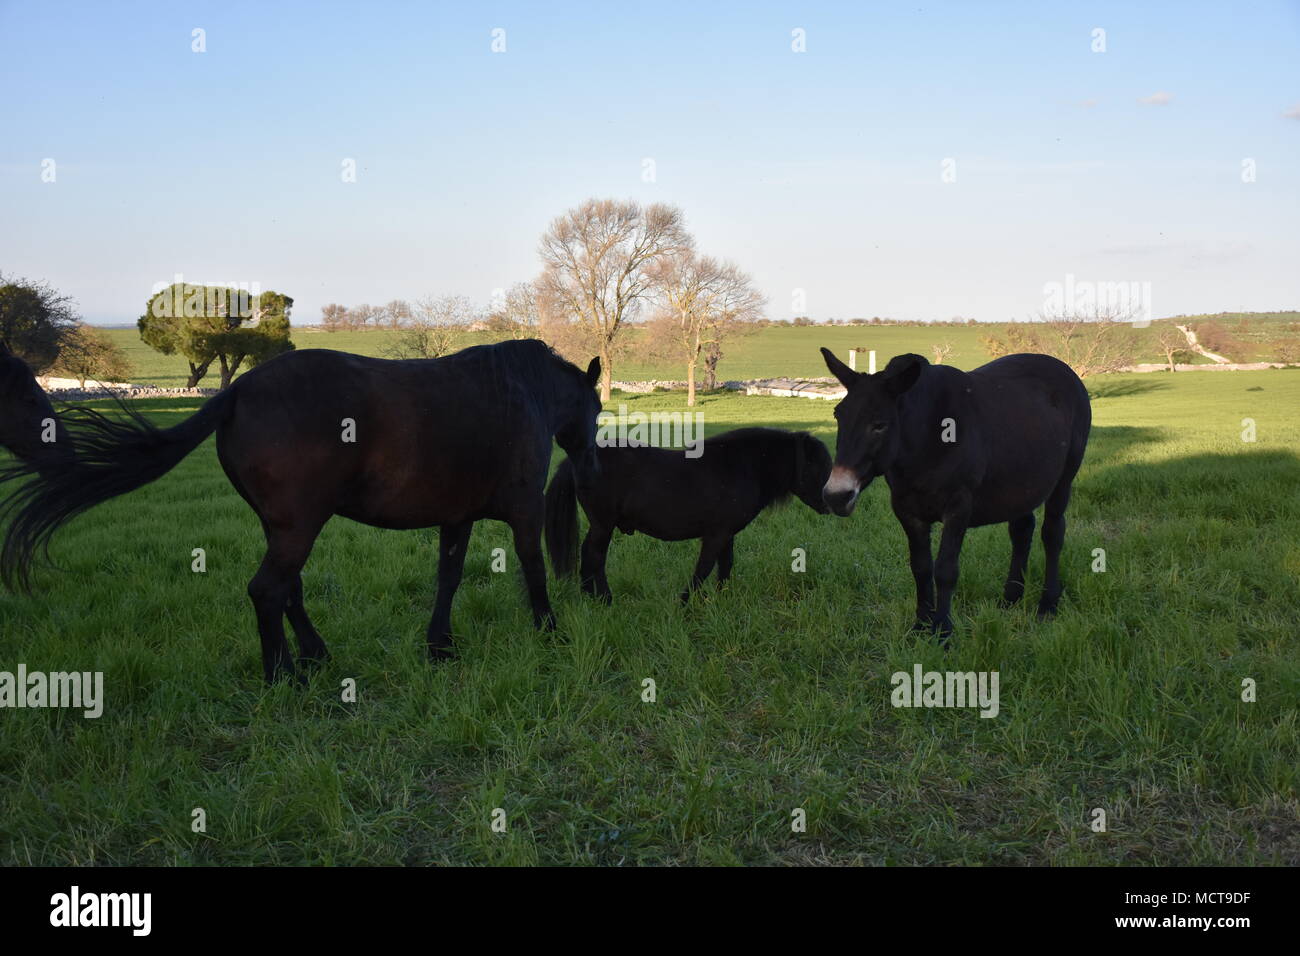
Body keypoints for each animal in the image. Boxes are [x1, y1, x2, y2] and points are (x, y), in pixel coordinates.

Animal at [0, 339, 602, 683]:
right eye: (596, 408)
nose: (593, 463)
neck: (522, 389)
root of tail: (238, 391)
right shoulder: (523, 508)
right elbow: (534, 567)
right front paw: (549, 630)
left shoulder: (456, 517)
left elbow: (447, 578)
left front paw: (441, 646)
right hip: (298, 528)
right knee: (267, 590)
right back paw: (283, 675)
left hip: (285, 527)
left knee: (288, 590)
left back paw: (313, 656)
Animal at [544, 427, 831, 603]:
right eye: (816, 466)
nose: (833, 502)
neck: (742, 467)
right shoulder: (715, 534)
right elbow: (704, 568)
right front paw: (685, 602)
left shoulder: (727, 534)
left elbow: (725, 565)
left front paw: (722, 598)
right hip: (603, 525)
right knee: (593, 556)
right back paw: (603, 599)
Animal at [819, 348, 1091, 638]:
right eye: (837, 416)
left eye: (879, 425)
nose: (836, 495)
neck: (925, 439)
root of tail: (1060, 365)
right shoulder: (906, 509)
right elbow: (920, 567)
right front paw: (920, 627)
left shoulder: (959, 506)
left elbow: (945, 570)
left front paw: (942, 631)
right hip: (1021, 481)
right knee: (1022, 530)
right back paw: (1011, 598)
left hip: (1064, 478)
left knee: (1052, 533)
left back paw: (1048, 604)